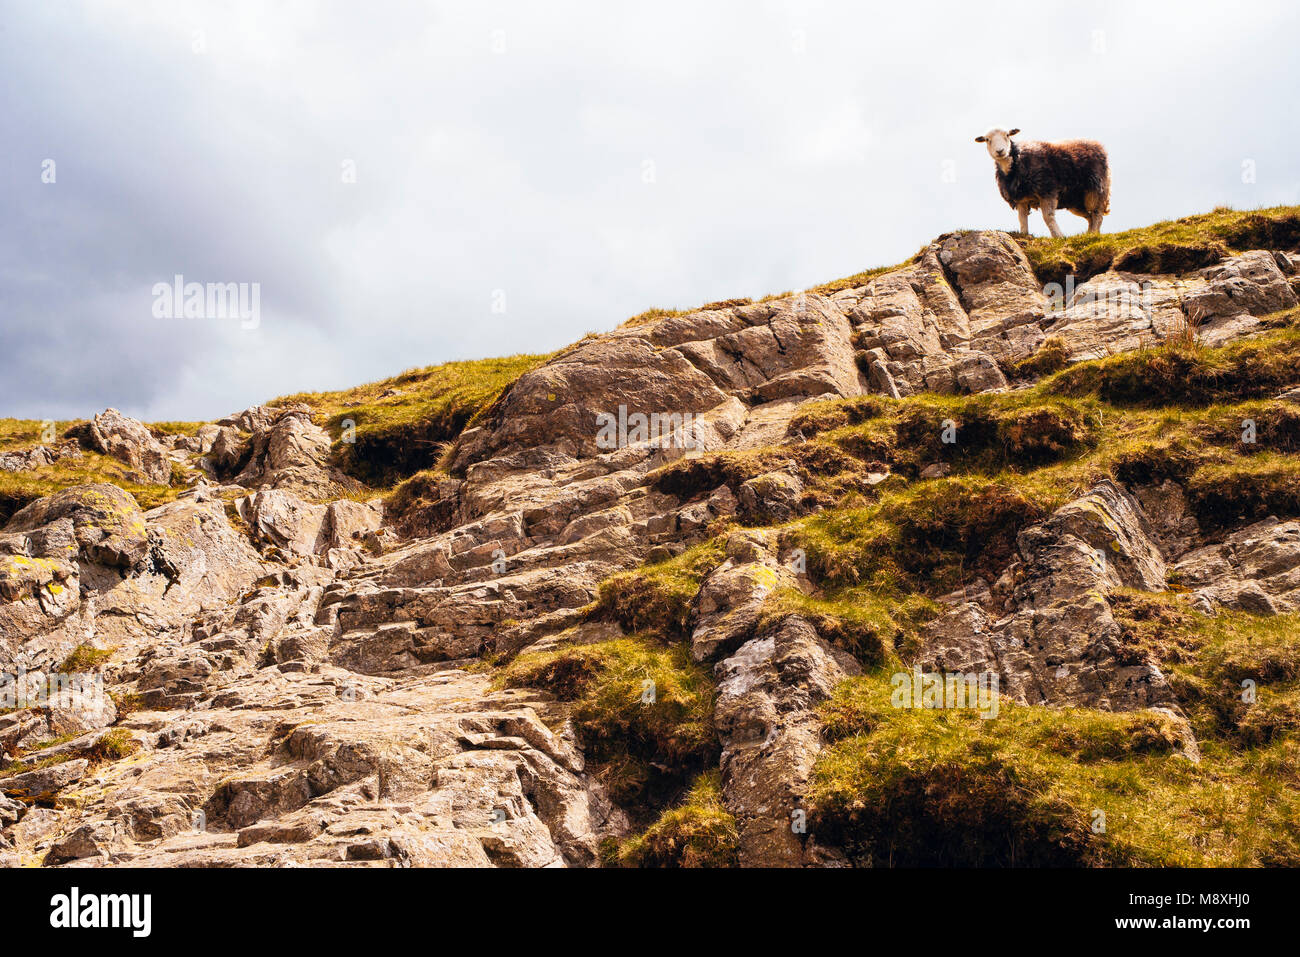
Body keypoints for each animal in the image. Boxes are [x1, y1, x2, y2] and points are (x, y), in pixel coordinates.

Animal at [975, 128, 1110, 237]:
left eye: (1007, 135)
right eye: (987, 139)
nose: (1000, 151)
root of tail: (1097, 145)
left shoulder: (1047, 191)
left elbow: (1048, 217)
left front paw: (1059, 236)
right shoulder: (1021, 199)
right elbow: (1022, 219)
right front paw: (1024, 234)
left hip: (1097, 188)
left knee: (1097, 214)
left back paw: (1093, 234)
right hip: (1075, 201)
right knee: (1090, 216)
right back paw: (1090, 234)